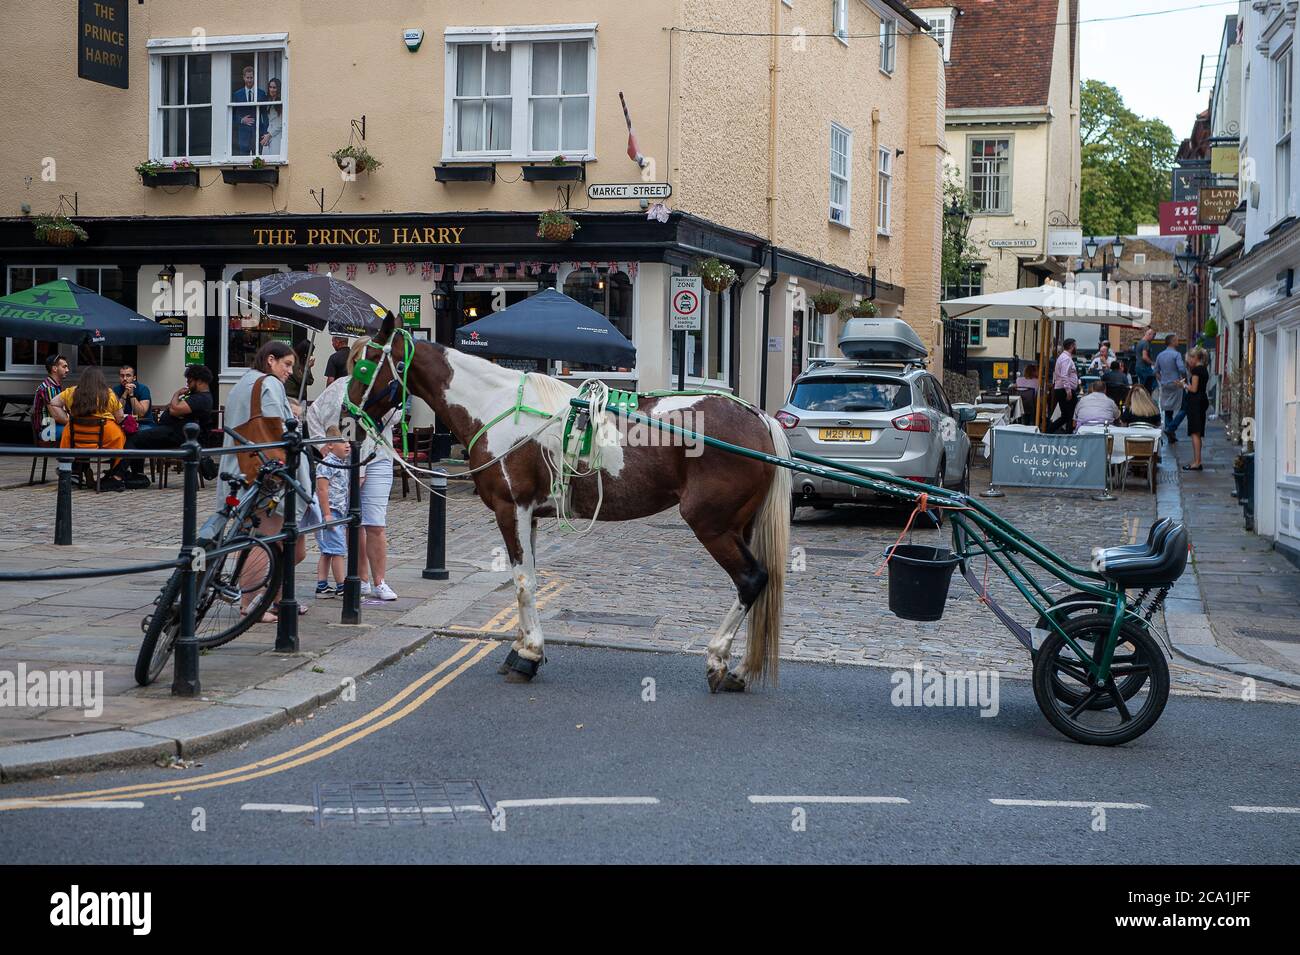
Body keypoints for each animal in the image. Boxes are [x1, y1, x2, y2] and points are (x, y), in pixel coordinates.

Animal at [345, 313, 791, 692]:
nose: (345, 420)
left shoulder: (511, 509)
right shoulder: (530, 515)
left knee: (751, 580)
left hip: (712, 525)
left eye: (365, 364)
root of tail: (757, 417)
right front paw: (521, 648)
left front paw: (528, 655)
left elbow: (523, 582)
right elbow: (526, 579)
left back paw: (718, 660)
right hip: (739, 525)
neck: (495, 405)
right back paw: (736, 666)